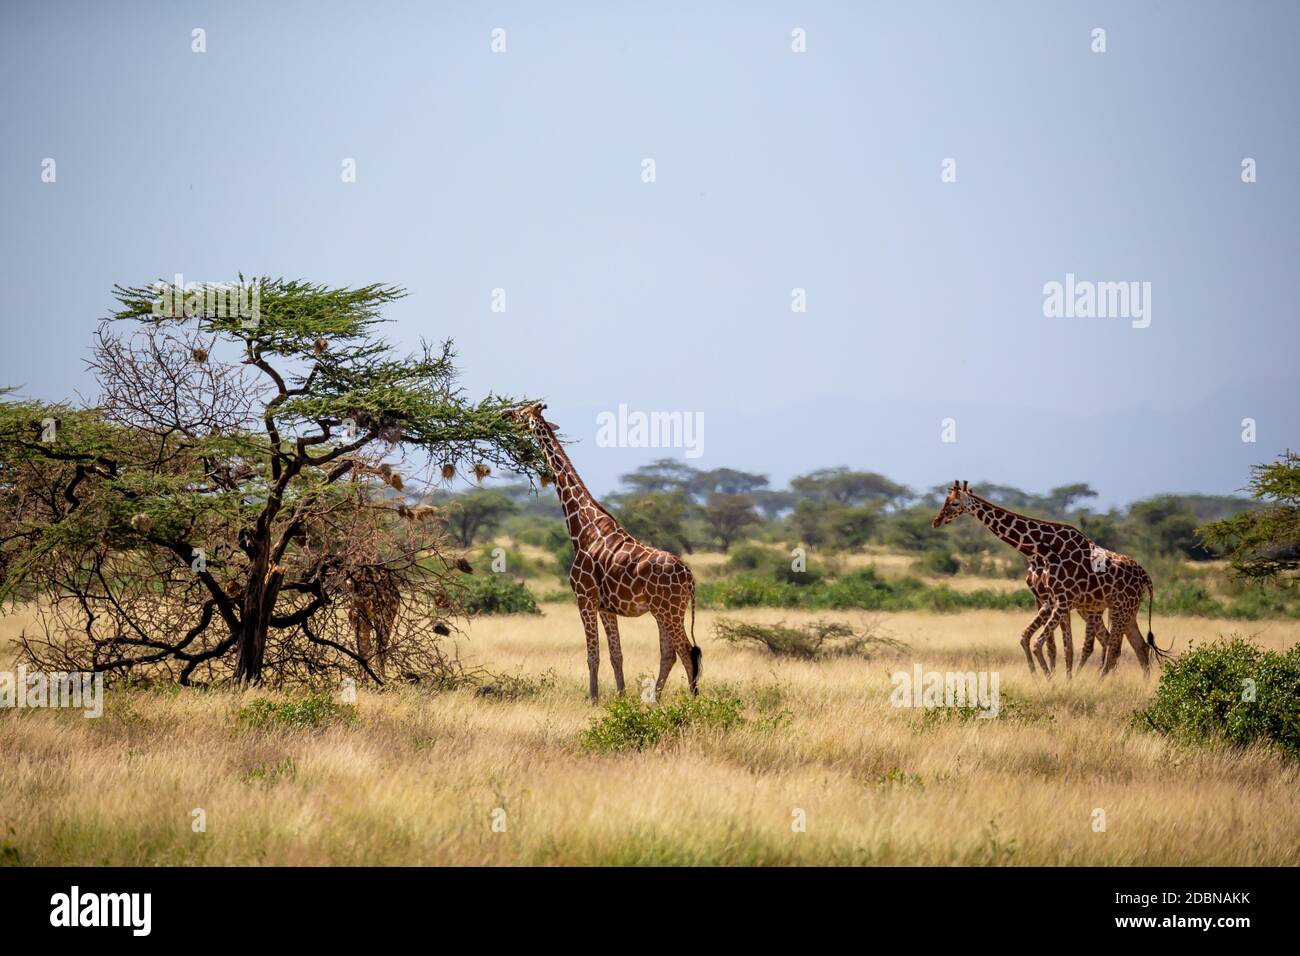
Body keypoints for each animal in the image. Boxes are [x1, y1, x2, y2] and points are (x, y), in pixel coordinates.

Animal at [504, 403, 701, 702]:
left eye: (521, 412)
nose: (504, 414)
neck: (584, 528)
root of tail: (690, 577)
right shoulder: (606, 606)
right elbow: (616, 655)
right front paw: (621, 696)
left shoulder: (584, 598)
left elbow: (592, 656)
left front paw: (593, 699)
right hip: (662, 611)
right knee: (669, 654)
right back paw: (654, 700)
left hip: (670, 610)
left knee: (687, 652)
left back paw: (691, 701)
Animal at [932, 481, 1163, 678]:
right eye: (945, 500)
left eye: (954, 503)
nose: (936, 521)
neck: (1042, 550)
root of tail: (1145, 575)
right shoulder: (1048, 600)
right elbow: (1038, 641)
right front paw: (1046, 676)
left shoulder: (1061, 600)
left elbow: (1048, 644)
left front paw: (1053, 678)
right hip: (1123, 610)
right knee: (1138, 646)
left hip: (1116, 609)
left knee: (1112, 647)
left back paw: (1098, 682)